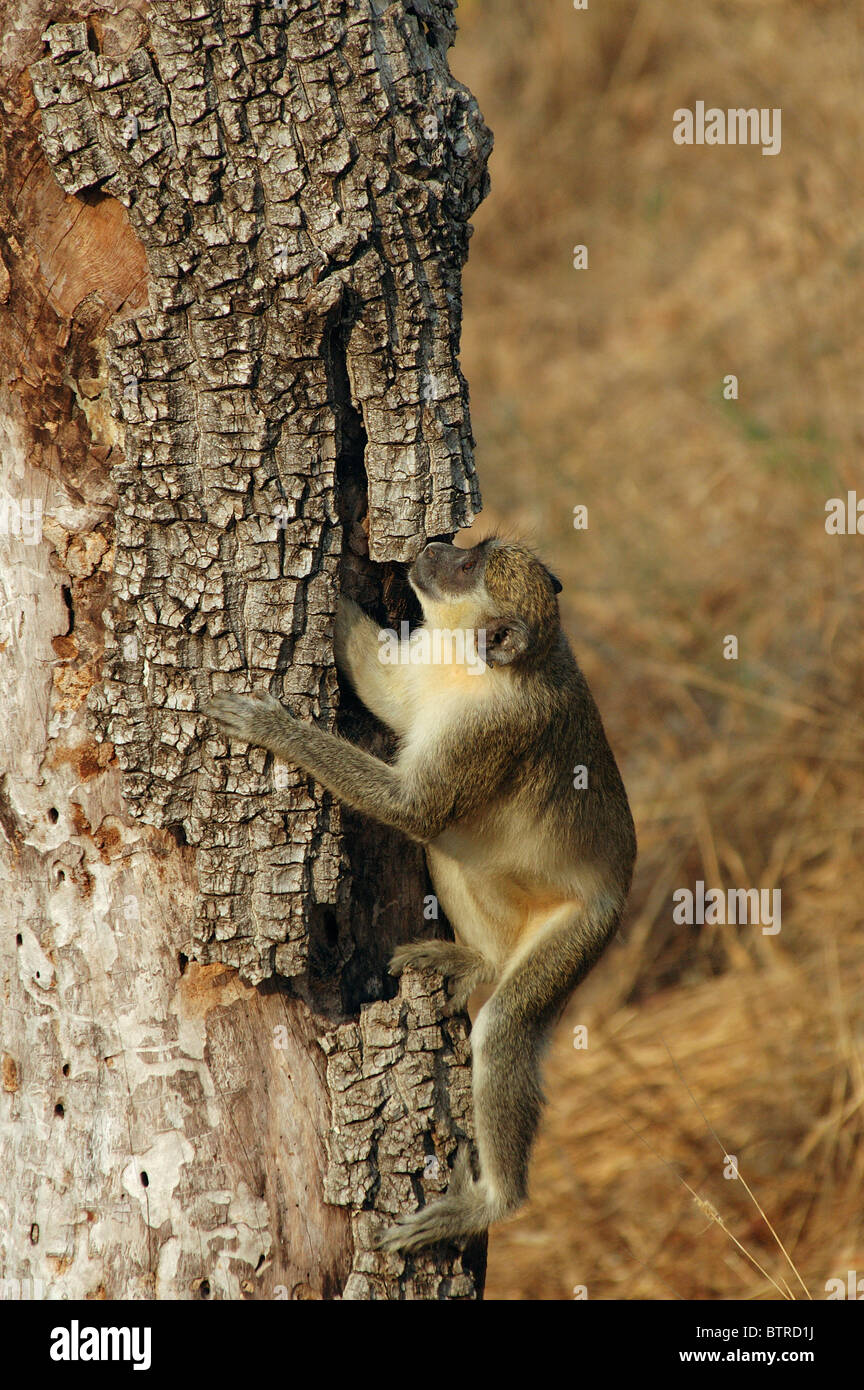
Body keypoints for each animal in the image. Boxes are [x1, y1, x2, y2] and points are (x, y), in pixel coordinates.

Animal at [205, 536, 636, 1252]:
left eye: (466, 569)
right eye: (476, 551)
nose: (434, 547)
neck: (475, 669)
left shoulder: (484, 730)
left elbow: (408, 807)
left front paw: (274, 729)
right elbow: (386, 692)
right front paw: (335, 580)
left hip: (584, 930)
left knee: (504, 1028)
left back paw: (492, 1203)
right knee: (453, 844)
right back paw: (478, 960)